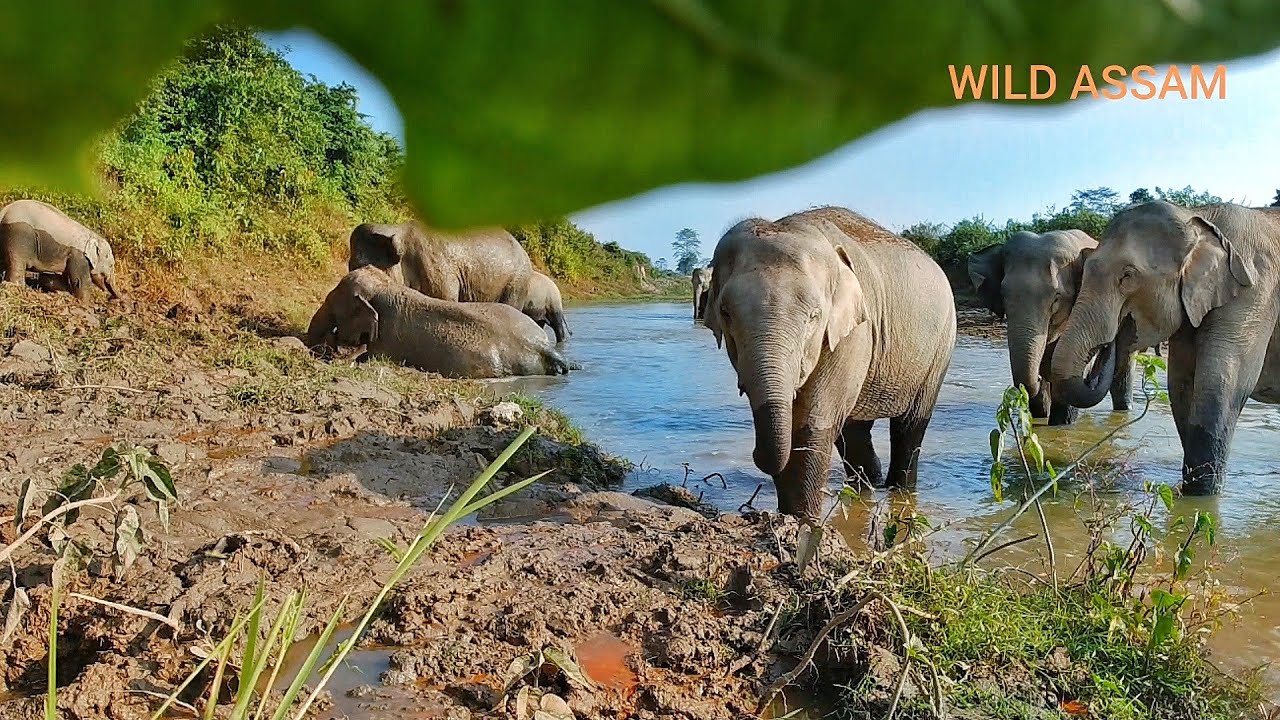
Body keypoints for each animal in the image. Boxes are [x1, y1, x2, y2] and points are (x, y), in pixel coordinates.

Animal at [705, 206, 956, 522]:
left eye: (814, 315)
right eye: (726, 313)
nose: (753, 454)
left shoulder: (854, 332)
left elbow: (814, 421)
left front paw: (803, 521)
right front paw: (792, 517)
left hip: (940, 349)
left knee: (909, 426)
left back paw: (898, 488)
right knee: (854, 430)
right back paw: (867, 483)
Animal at [968, 229, 1134, 425]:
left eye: (1056, 298)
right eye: (1003, 294)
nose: (1039, 379)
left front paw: (1060, 424)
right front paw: (1041, 416)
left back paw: (1123, 410)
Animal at [1049, 201, 1280, 495]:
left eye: (1127, 275)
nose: (1112, 340)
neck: (1199, 218)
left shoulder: (1254, 292)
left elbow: (1223, 385)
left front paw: (1201, 495)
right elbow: (1181, 387)